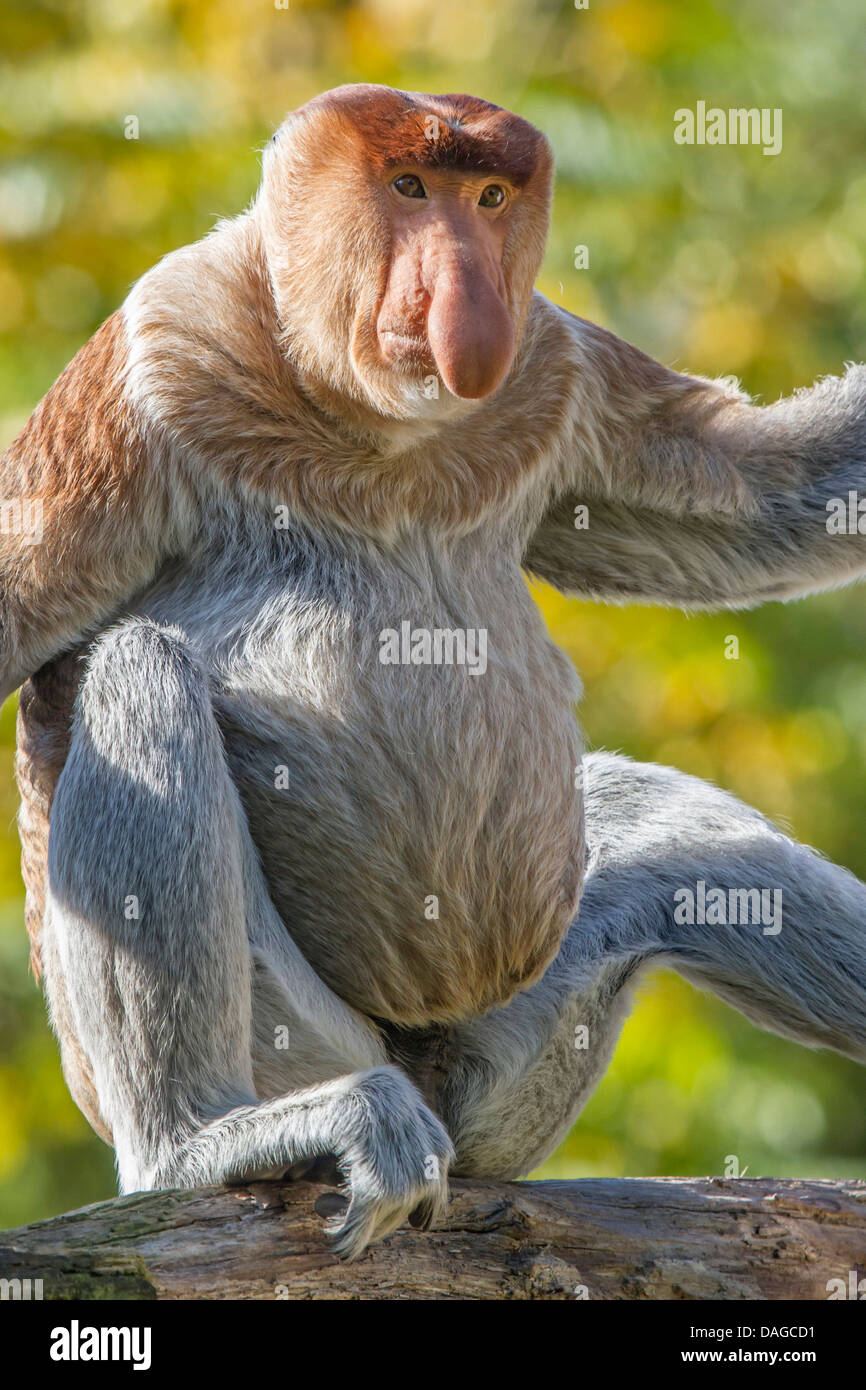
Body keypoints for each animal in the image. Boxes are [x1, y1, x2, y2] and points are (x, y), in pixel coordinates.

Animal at [5, 83, 866, 1258]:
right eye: (410, 188)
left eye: (489, 198)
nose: (462, 298)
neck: (379, 430)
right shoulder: (153, 349)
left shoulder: (553, 362)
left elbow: (776, 497)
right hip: (298, 1031)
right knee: (140, 671)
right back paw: (204, 1140)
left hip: (511, 1050)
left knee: (692, 848)